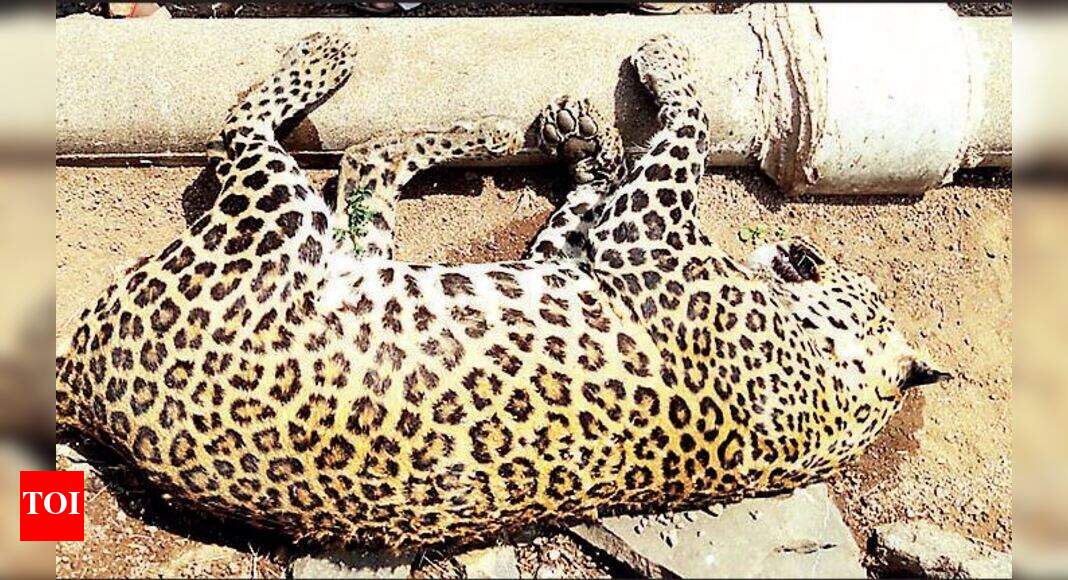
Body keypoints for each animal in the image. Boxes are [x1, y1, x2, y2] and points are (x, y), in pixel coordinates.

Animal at [56, 32, 951, 552]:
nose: (801, 246)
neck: (833, 395)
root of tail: (82, 383)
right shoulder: (591, 247)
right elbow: (596, 199)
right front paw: (586, 140)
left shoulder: (646, 234)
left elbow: (688, 135)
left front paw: (665, 63)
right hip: (345, 245)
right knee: (362, 163)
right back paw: (474, 128)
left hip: (279, 225)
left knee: (262, 127)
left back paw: (340, 58)